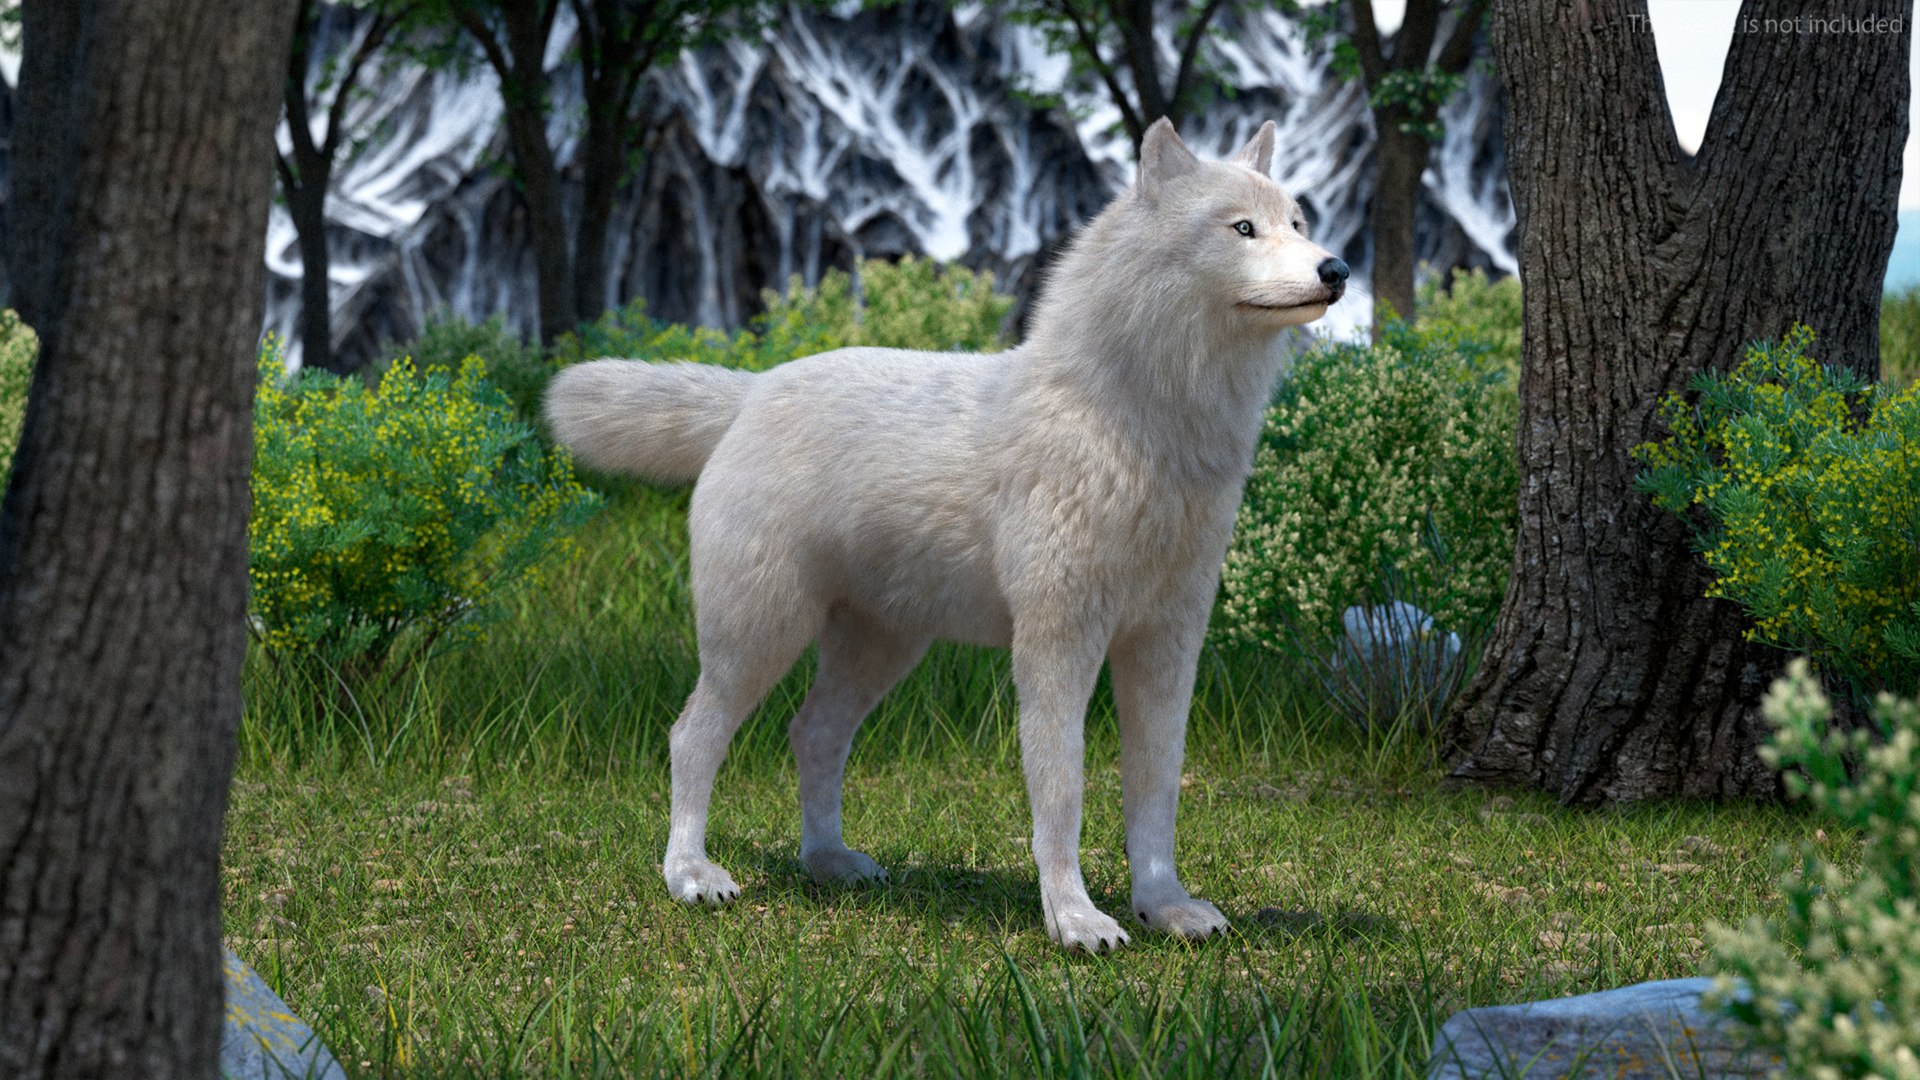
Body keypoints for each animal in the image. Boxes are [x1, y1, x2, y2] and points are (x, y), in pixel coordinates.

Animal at [546, 118, 1347, 951]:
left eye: (1298, 222)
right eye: (1243, 228)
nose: (1338, 269)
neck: (1141, 426)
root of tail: (753, 392)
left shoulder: (1167, 643)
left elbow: (1154, 791)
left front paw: (1166, 907)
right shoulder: (1057, 643)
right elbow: (1061, 794)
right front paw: (1075, 920)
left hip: (880, 650)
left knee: (812, 734)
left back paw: (829, 862)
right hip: (758, 637)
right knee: (692, 738)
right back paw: (691, 875)